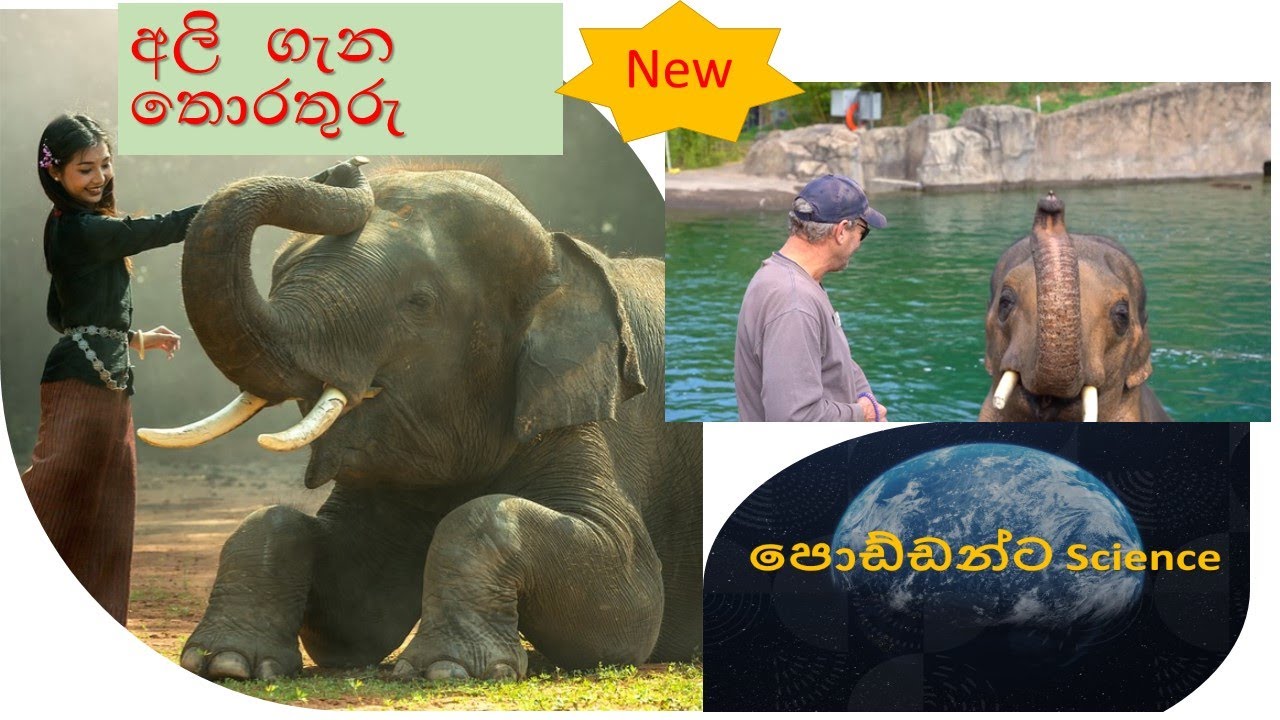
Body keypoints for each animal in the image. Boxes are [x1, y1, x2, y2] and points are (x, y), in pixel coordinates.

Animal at [138, 158, 702, 681]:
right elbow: (354, 611)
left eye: (419, 302)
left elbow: (630, 602)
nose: (348, 166)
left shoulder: (583, 411)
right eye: (278, 277)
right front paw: (227, 664)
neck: (558, 255)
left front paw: (447, 669)